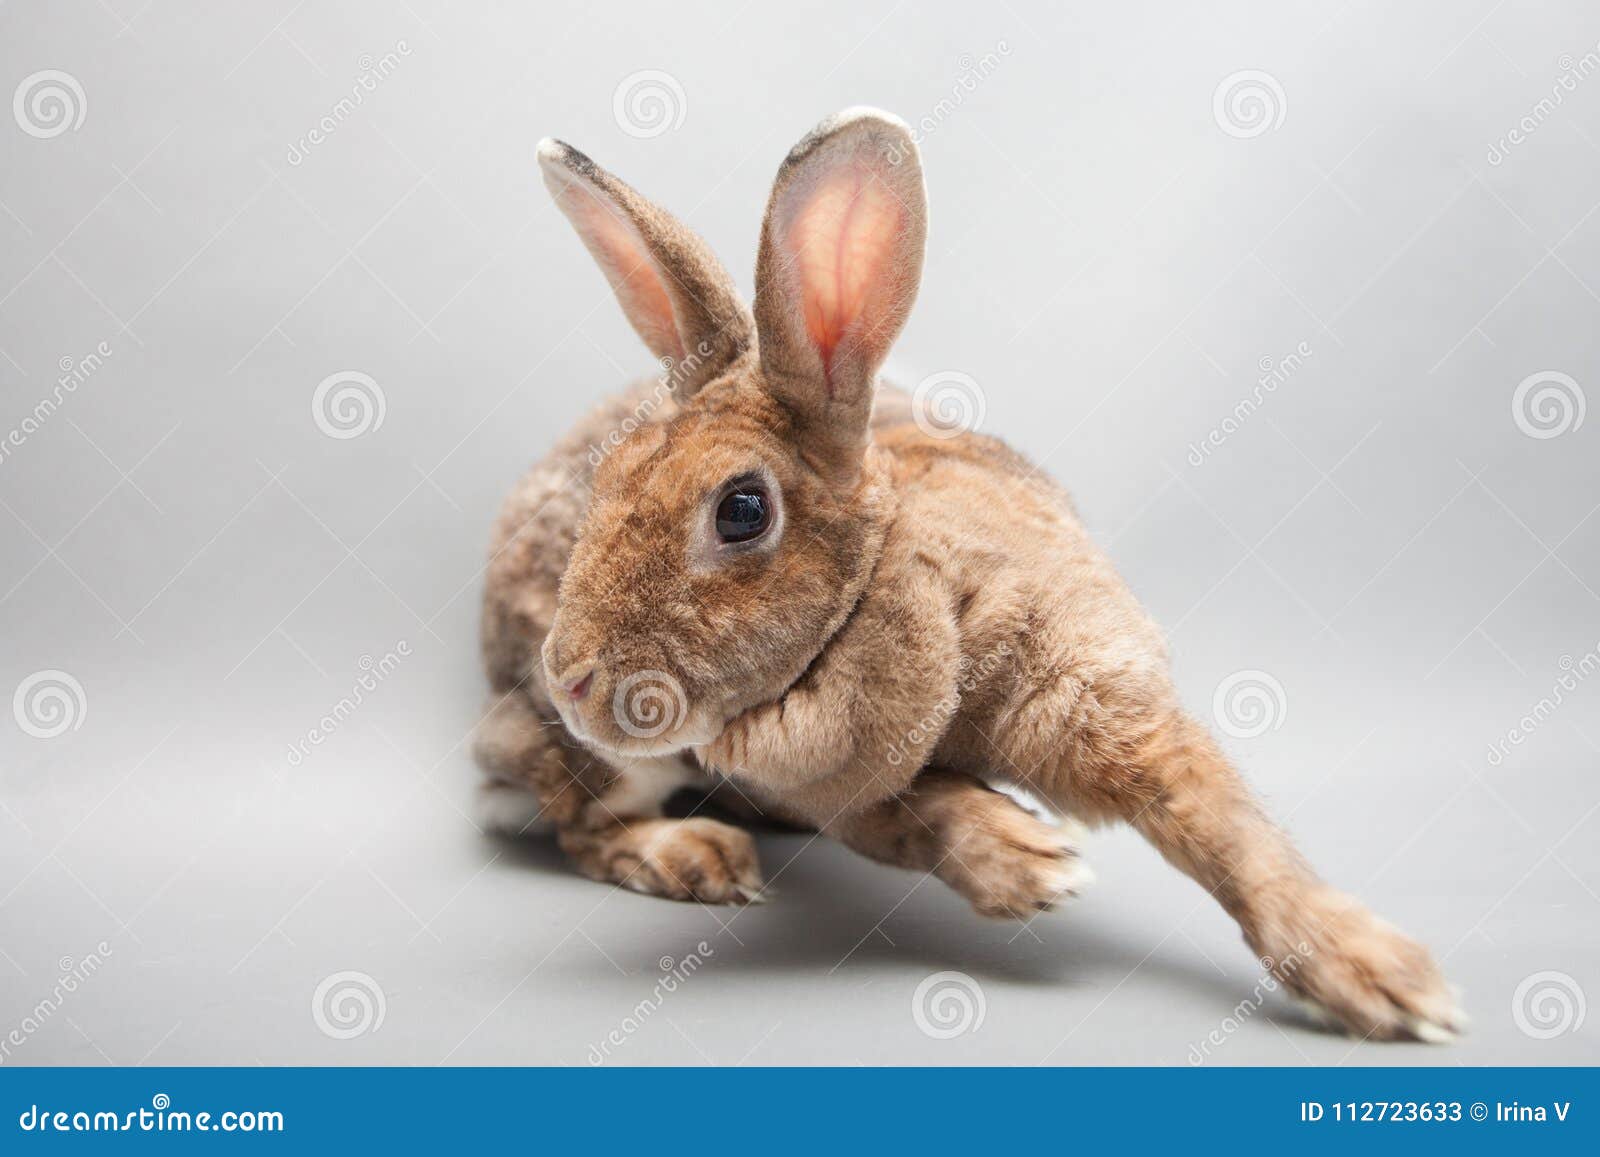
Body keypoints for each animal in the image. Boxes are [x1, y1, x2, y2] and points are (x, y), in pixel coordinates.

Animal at [475, 108, 1463, 1042]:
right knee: (585, 826)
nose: (571, 678)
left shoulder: (1101, 693)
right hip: (600, 767)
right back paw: (698, 856)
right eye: (607, 473)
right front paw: (1033, 863)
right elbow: (922, 817)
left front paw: (1390, 982)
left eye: (742, 509)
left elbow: (1231, 833)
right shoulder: (851, 798)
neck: (882, 590)